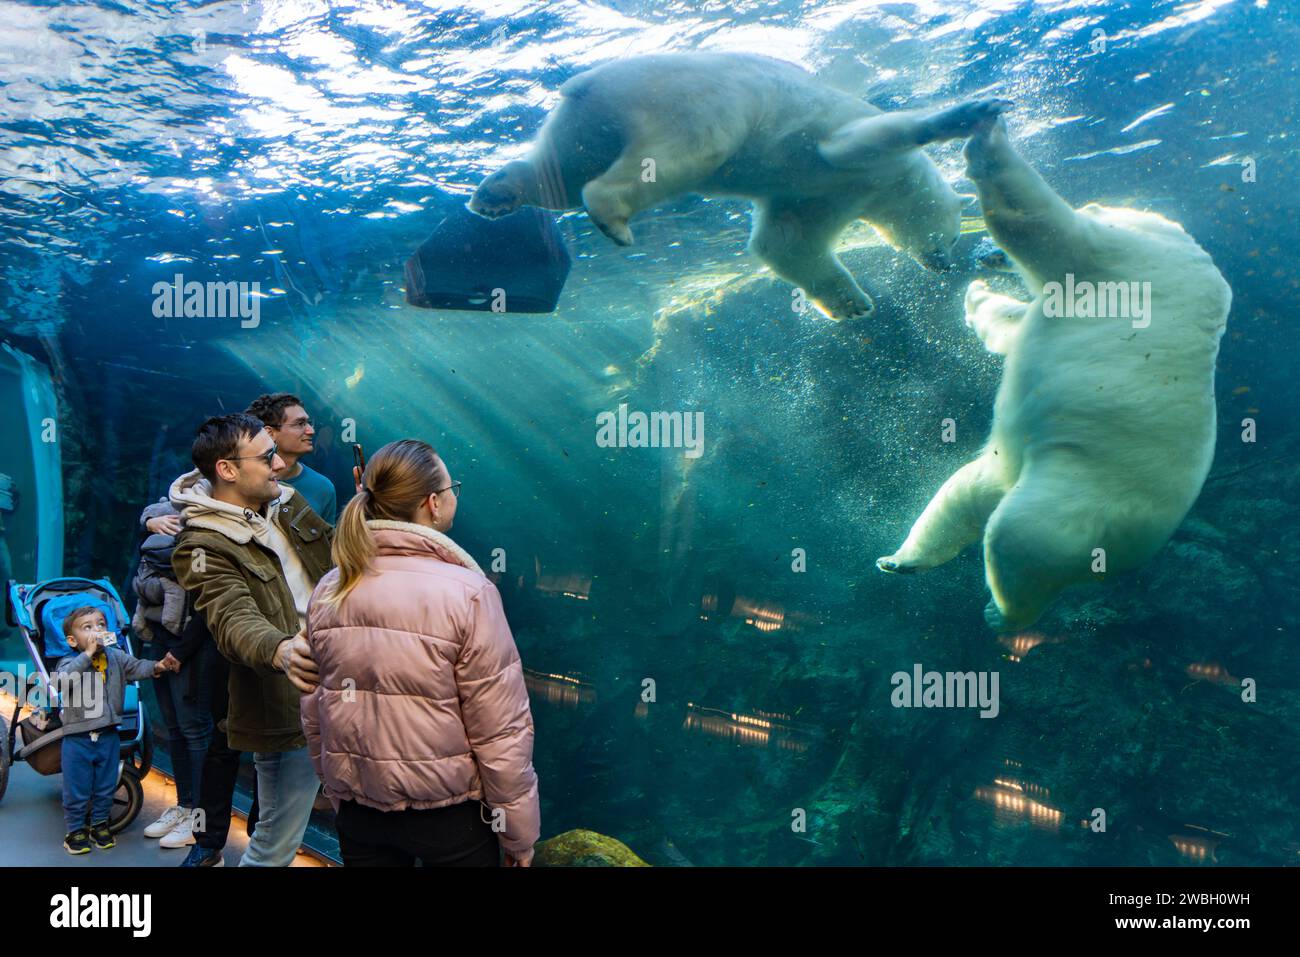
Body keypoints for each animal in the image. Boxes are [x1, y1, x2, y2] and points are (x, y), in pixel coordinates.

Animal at [468, 51, 1010, 320]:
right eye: (955, 233)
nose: (944, 264)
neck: (885, 188)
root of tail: (588, 81)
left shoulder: (819, 196)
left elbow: (785, 243)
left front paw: (853, 305)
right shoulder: (849, 154)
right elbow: (874, 137)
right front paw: (973, 112)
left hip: (584, 124)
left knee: (558, 171)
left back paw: (494, 194)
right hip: (701, 104)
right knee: (681, 153)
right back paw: (613, 217)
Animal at [876, 114, 1232, 631]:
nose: (984, 254)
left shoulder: (1119, 257)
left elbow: (1039, 225)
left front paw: (986, 138)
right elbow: (1014, 323)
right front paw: (977, 293)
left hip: (1080, 491)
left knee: (1019, 538)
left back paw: (1001, 612)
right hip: (1008, 471)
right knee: (960, 495)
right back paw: (901, 560)